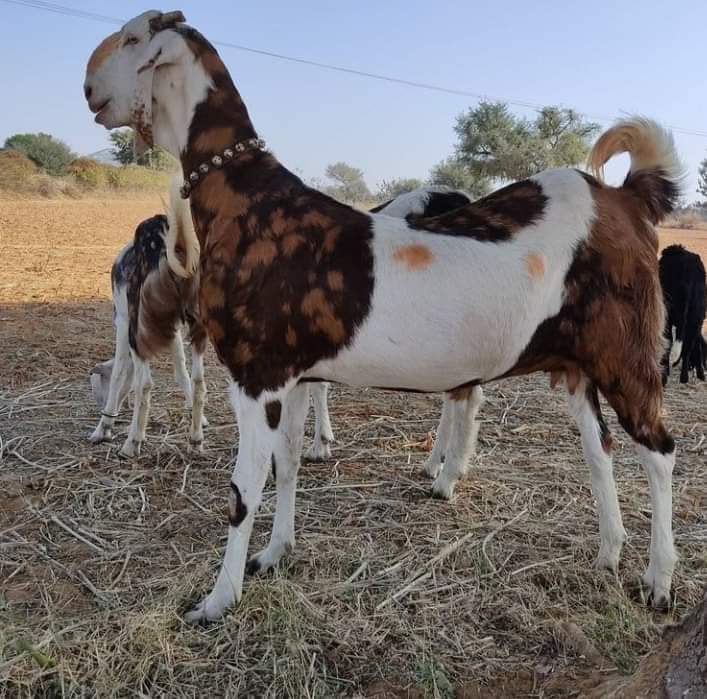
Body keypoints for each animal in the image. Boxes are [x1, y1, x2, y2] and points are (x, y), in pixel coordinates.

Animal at [89, 186, 207, 457]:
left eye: (98, 386)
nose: (100, 407)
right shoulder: (173, 329)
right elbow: (181, 370)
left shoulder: (122, 323)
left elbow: (120, 373)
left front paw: (103, 428)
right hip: (198, 323)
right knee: (199, 379)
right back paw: (196, 438)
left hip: (135, 326)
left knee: (145, 384)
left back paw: (132, 442)